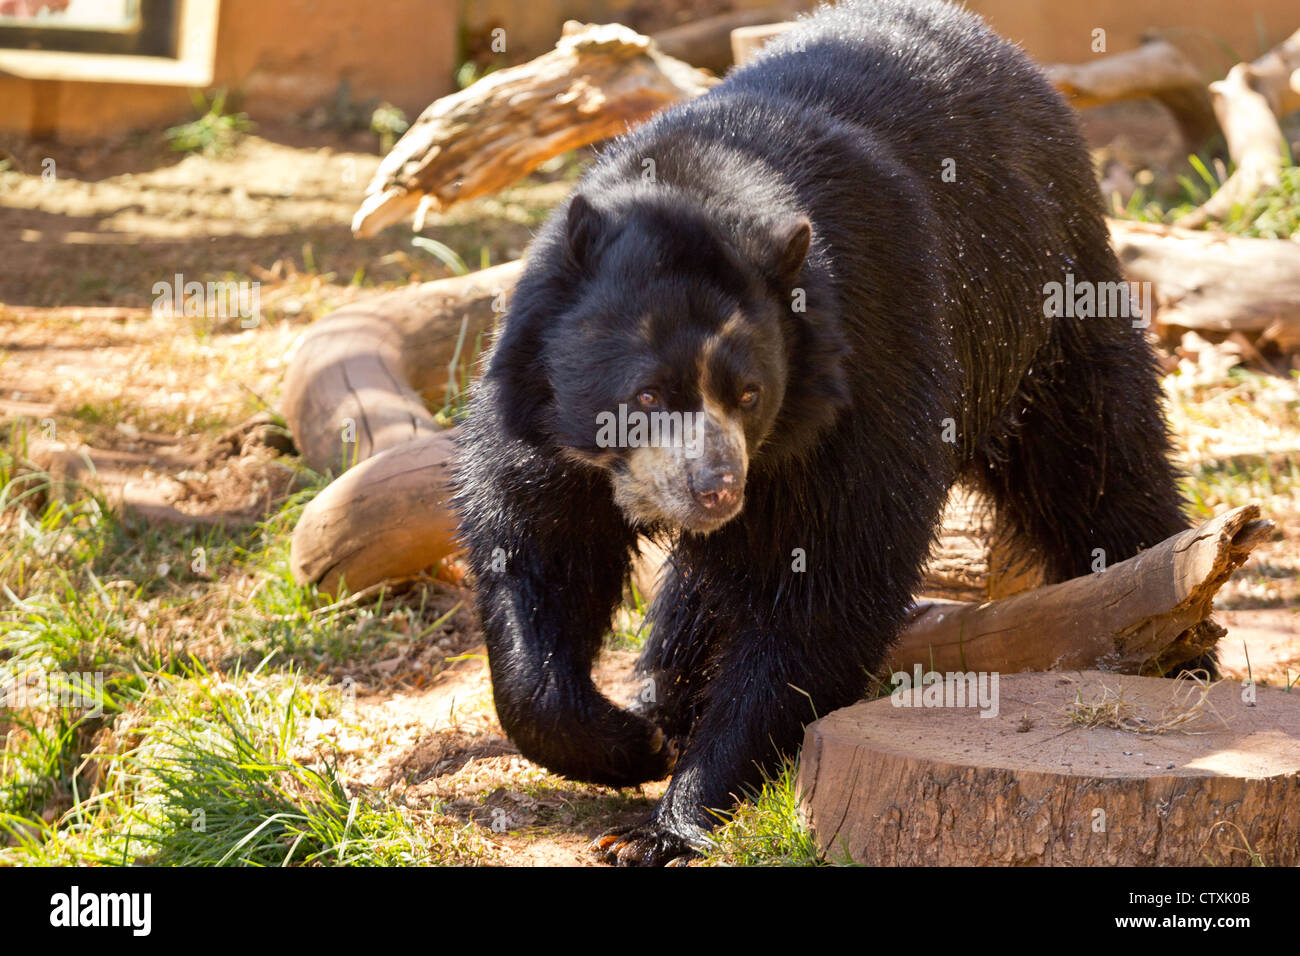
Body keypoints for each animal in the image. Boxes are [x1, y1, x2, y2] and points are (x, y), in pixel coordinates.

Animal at [454, 0, 1196, 866]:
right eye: (645, 394)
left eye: (748, 393)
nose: (715, 490)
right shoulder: (538, 401)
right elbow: (534, 538)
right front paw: (629, 742)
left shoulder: (866, 374)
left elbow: (830, 582)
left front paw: (664, 823)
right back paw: (667, 700)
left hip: (1050, 311)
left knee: (1099, 467)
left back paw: (1181, 647)